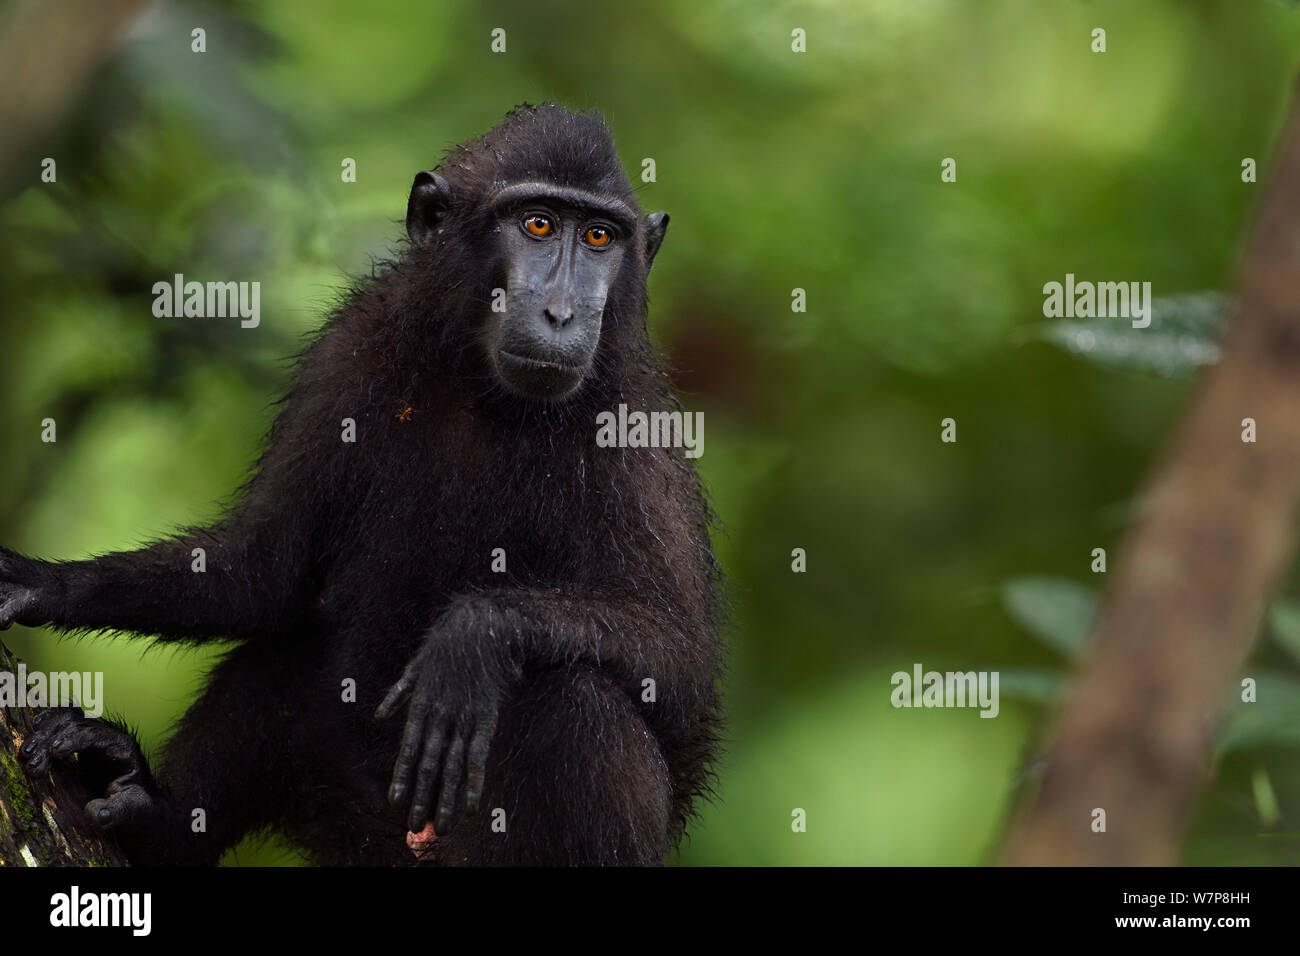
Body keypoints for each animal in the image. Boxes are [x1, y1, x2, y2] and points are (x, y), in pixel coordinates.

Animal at [1, 103, 724, 866]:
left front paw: (474, 638)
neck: (484, 390)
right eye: (536, 224)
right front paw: (43, 584)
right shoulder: (350, 351)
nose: (562, 314)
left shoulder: (631, 428)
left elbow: (678, 663)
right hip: (348, 814)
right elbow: (262, 571)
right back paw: (158, 821)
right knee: (281, 657)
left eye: (598, 237)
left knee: (581, 702)